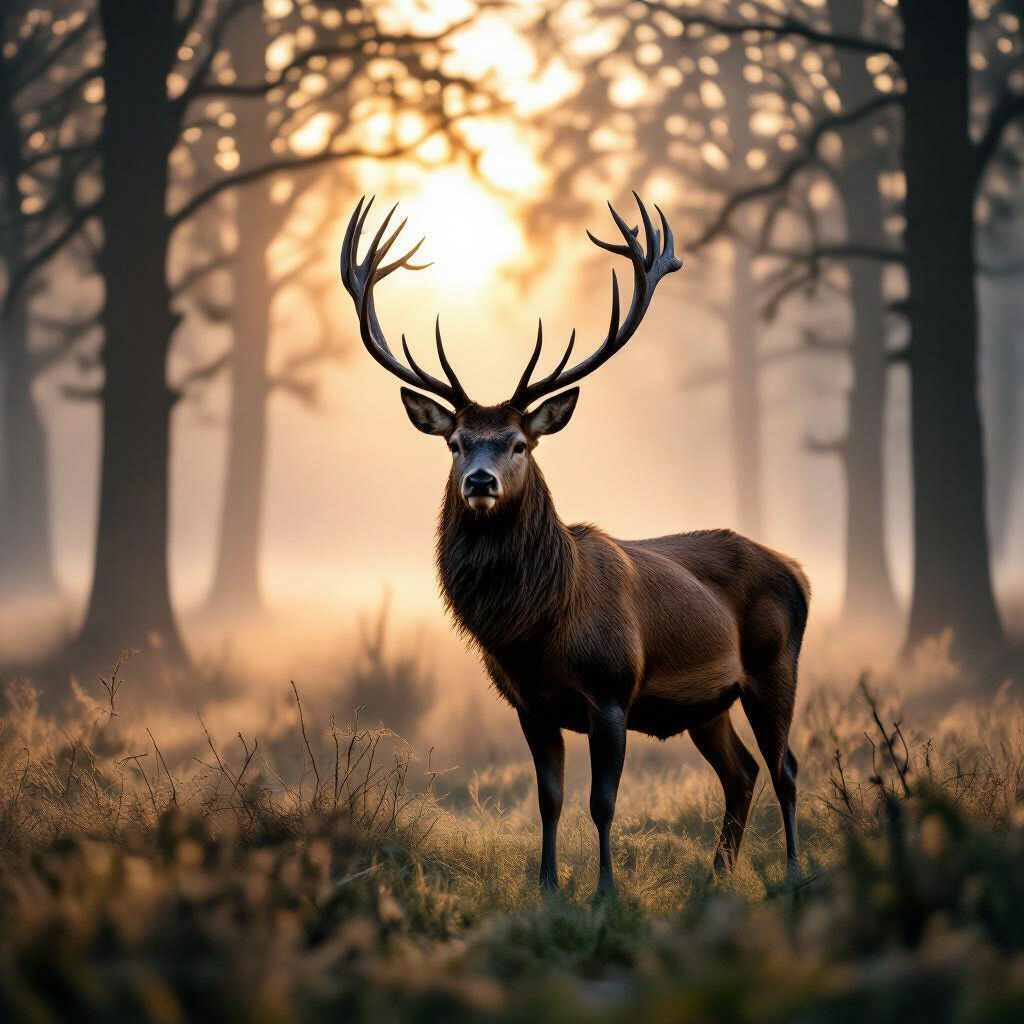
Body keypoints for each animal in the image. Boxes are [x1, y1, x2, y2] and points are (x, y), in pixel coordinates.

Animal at [339, 194, 810, 897]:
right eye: (456, 443)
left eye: (518, 443)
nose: (479, 481)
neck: (539, 629)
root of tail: (797, 571)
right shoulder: (531, 705)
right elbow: (550, 800)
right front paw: (548, 887)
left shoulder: (612, 691)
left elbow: (602, 801)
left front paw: (606, 891)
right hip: (707, 704)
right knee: (742, 772)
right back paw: (718, 875)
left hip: (775, 664)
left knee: (785, 768)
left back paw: (795, 871)